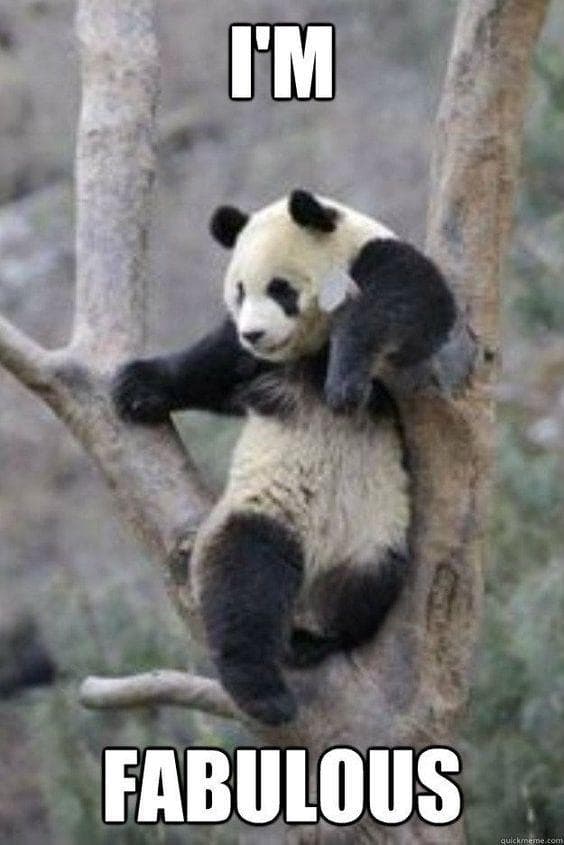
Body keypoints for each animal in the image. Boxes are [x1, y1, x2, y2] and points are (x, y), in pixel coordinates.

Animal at [114, 189, 457, 726]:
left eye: (280, 289)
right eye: (238, 292)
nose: (254, 333)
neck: (308, 348)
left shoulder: (378, 260)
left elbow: (412, 303)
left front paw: (345, 379)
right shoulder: (252, 362)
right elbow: (214, 364)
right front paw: (136, 387)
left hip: (372, 539)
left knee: (361, 589)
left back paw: (305, 649)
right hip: (269, 510)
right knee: (247, 576)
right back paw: (269, 679)